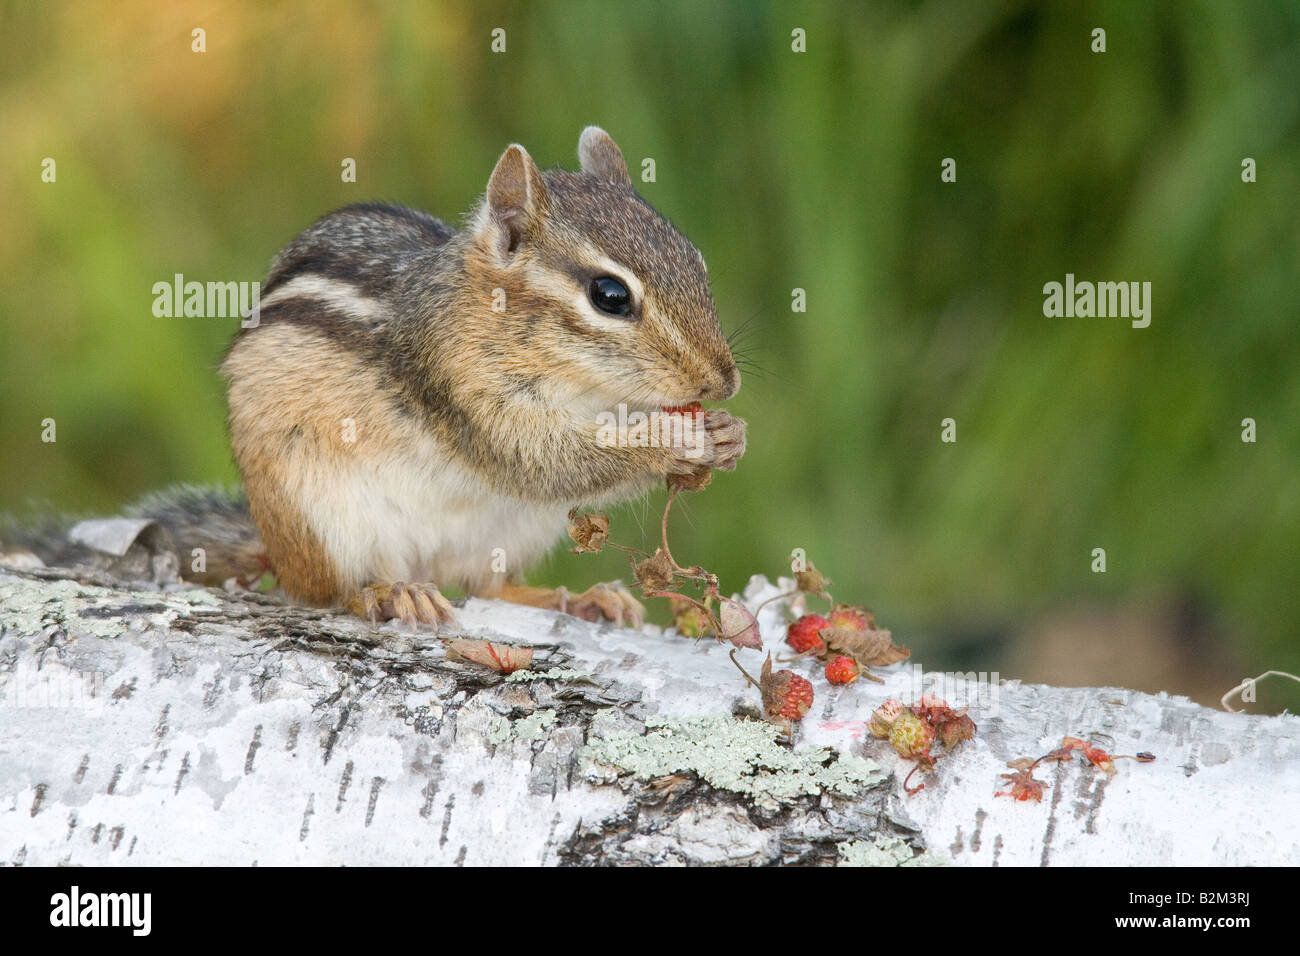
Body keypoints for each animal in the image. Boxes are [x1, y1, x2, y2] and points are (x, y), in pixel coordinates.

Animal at [17, 127, 745, 629]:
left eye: (698, 260)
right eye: (609, 296)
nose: (723, 383)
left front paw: (727, 435)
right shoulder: (461, 392)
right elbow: (545, 459)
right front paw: (668, 441)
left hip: (513, 534)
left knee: (487, 586)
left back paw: (582, 597)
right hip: (320, 516)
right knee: (323, 593)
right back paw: (389, 592)